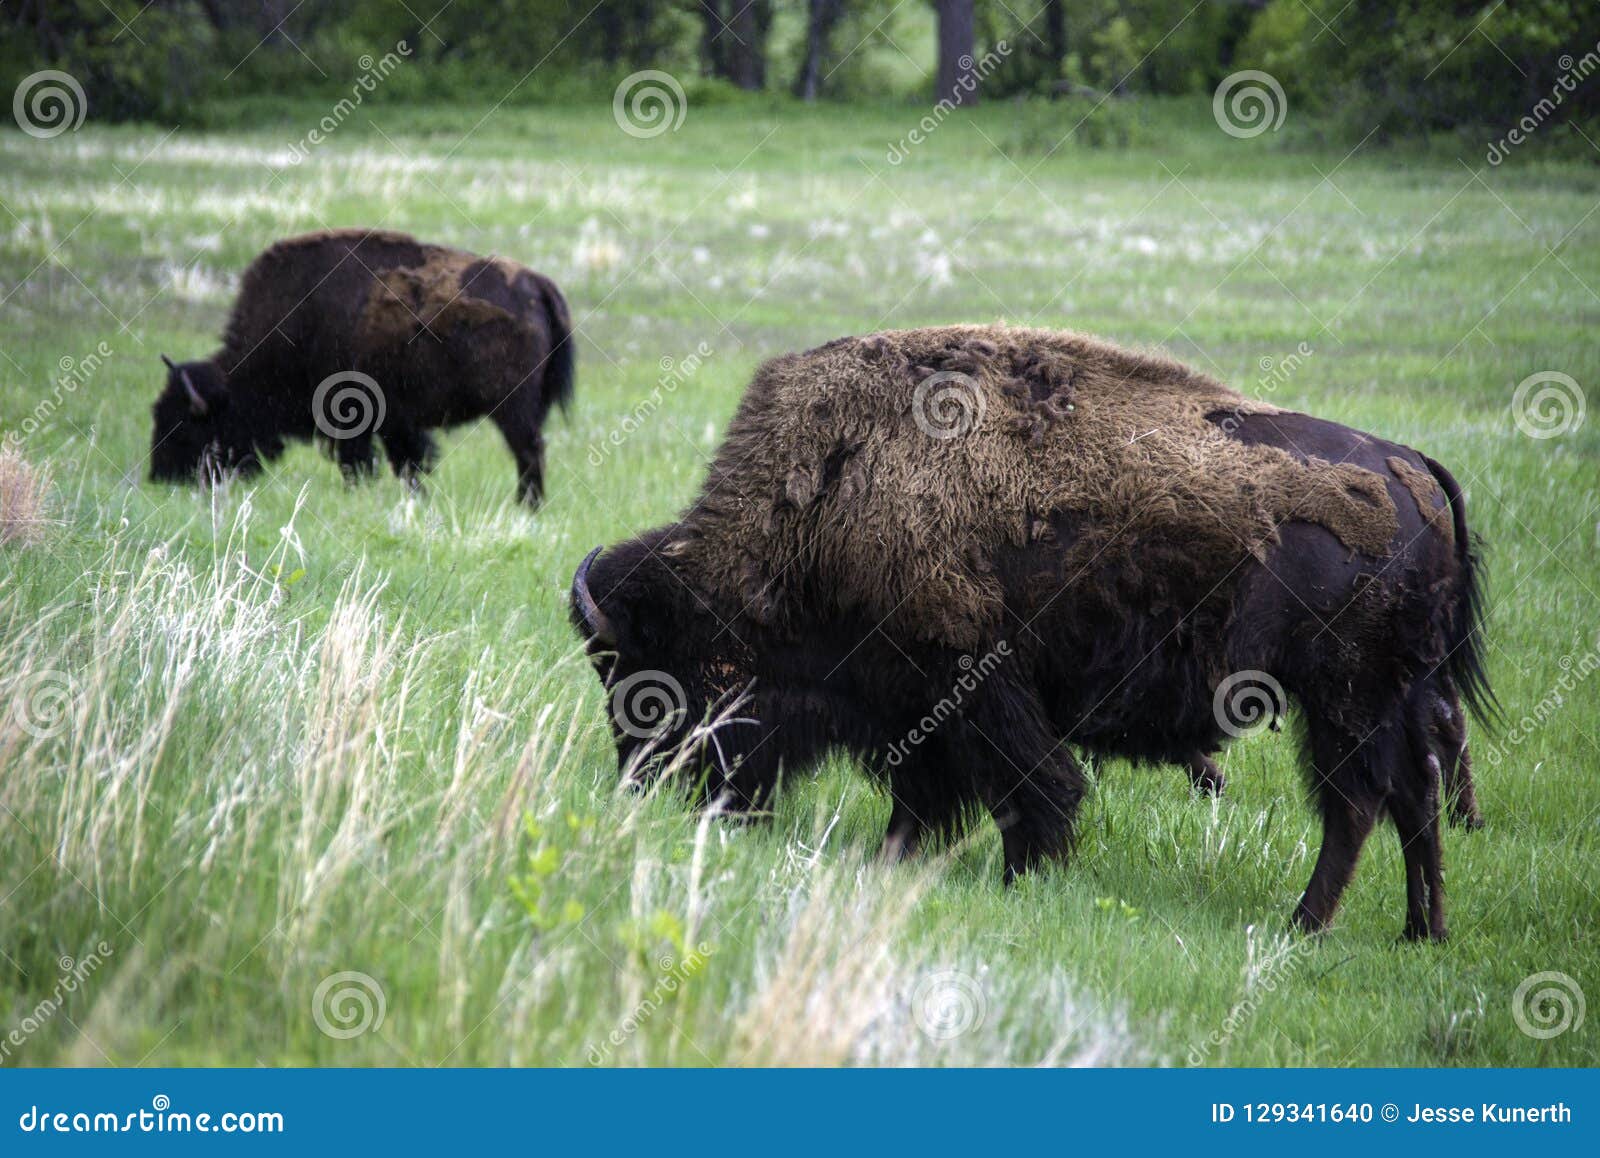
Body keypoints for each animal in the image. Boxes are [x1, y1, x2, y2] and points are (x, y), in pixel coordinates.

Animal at [151, 229, 573, 505]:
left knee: (529, 451)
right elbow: (406, 463)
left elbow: (363, 462)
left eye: (186, 424)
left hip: (512, 410)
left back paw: (526, 505)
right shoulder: (394, 423)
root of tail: (537, 284)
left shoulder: (355, 418)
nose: (159, 477)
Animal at [571, 326, 1493, 941]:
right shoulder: (919, 709)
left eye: (654, 685)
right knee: (1415, 795)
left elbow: (1032, 790)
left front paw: (1021, 879)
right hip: (1397, 695)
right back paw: (1421, 931)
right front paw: (899, 861)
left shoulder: (974, 689)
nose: (648, 791)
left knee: (1356, 804)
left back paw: (1304, 923)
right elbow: (925, 796)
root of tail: (1412, 468)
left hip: (1344, 698)